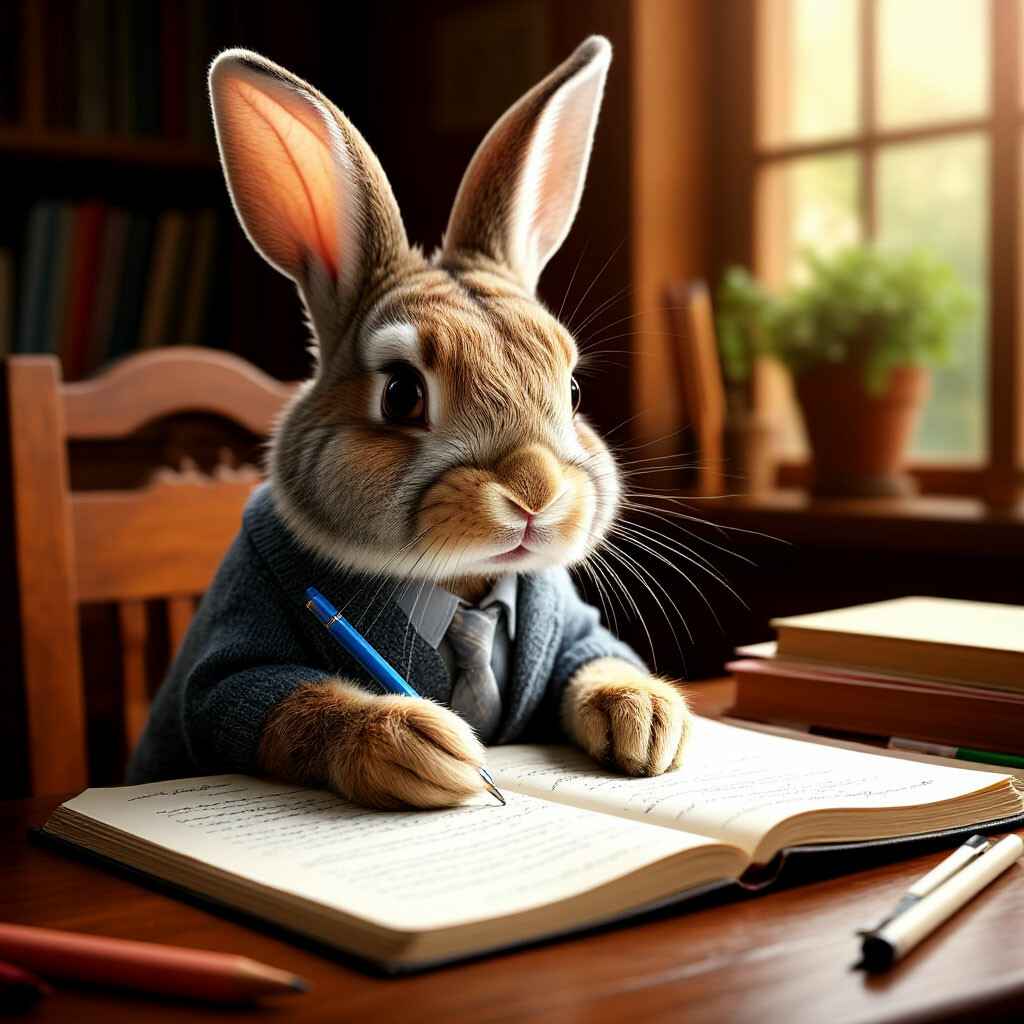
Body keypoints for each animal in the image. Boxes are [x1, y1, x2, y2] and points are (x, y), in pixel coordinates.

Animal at [127, 36, 694, 809]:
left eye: (573, 390)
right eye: (401, 395)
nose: (535, 495)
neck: (467, 590)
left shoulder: (572, 633)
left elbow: (595, 659)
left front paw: (647, 718)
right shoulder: (235, 650)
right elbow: (270, 699)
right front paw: (410, 741)